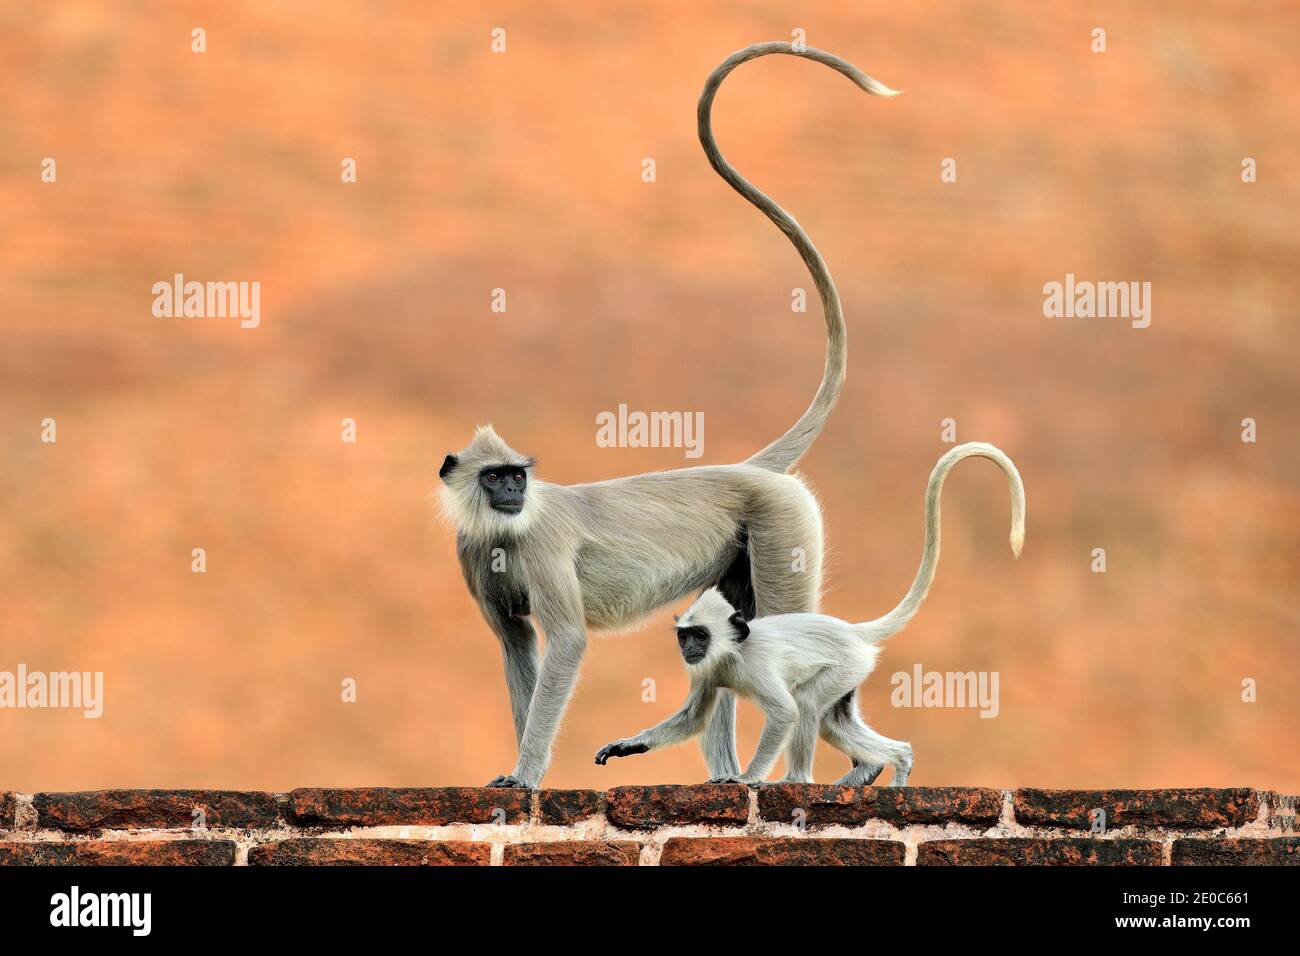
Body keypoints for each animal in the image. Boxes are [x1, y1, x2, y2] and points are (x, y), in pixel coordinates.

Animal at [439, 41, 899, 790]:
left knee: (783, 629)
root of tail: (748, 469)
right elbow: (516, 648)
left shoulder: (539, 544)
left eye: (517, 475)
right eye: (494, 477)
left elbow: (565, 643)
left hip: (783, 525)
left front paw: (528, 776)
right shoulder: (474, 553)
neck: (505, 527)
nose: (510, 491)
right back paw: (730, 773)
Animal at [594, 442, 1026, 785]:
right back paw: (897, 762)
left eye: (700, 635)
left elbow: (785, 713)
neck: (734, 650)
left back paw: (795, 780)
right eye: (685, 635)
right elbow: (693, 718)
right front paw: (627, 745)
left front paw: (746, 779)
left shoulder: (755, 667)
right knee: (834, 722)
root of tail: (851, 632)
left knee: (804, 705)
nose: (688, 648)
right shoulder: (708, 670)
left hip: (845, 666)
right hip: (851, 676)